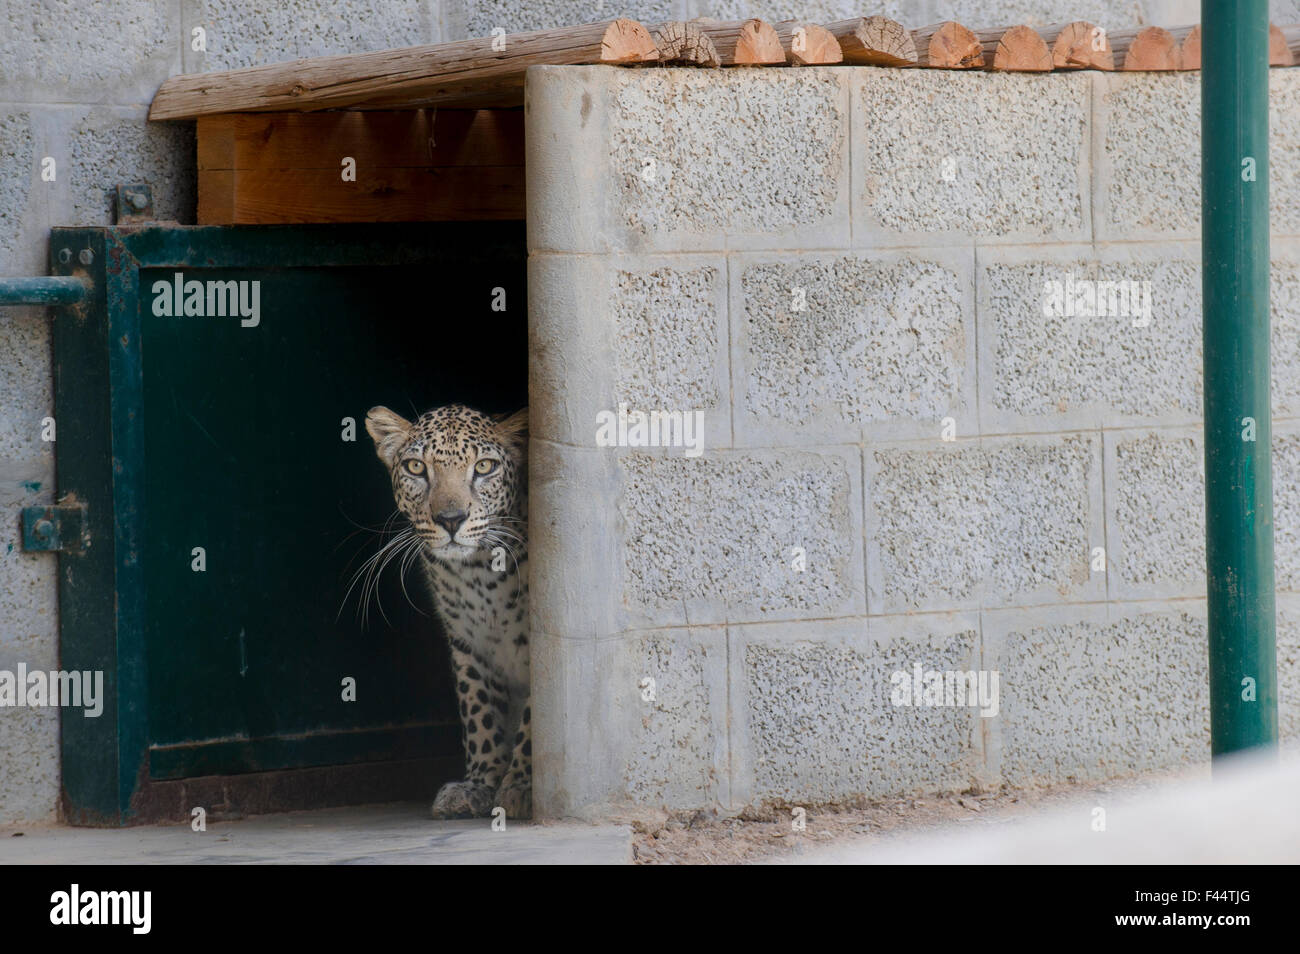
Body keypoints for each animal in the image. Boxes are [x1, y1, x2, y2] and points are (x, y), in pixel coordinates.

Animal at [364, 403, 531, 819]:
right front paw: (478, 785)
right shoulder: (467, 640)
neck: (477, 572)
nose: (451, 519)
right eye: (416, 468)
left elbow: (534, 718)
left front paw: (521, 785)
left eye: (484, 467)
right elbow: (479, 711)